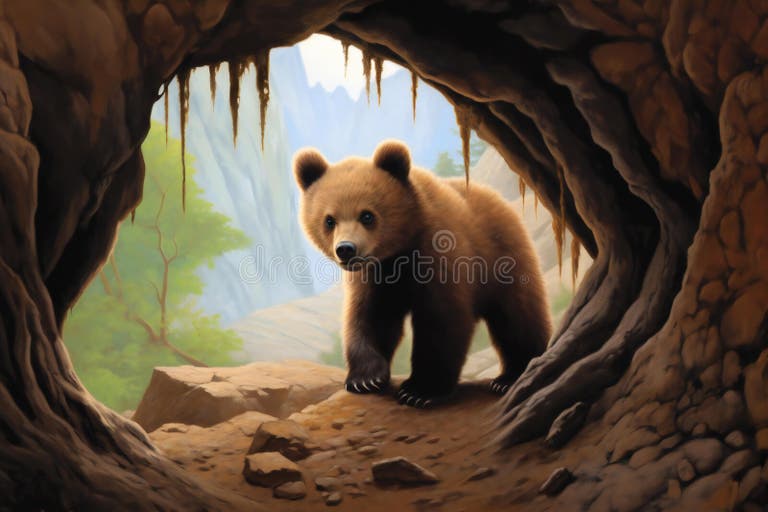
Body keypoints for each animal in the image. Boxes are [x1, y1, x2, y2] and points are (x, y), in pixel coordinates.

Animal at [293, 140, 552, 407]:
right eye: (329, 220)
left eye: (367, 215)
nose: (346, 249)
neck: (398, 251)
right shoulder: (375, 275)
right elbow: (371, 316)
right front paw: (366, 378)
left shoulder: (439, 252)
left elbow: (441, 319)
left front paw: (419, 390)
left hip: (503, 257)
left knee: (517, 315)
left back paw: (511, 375)